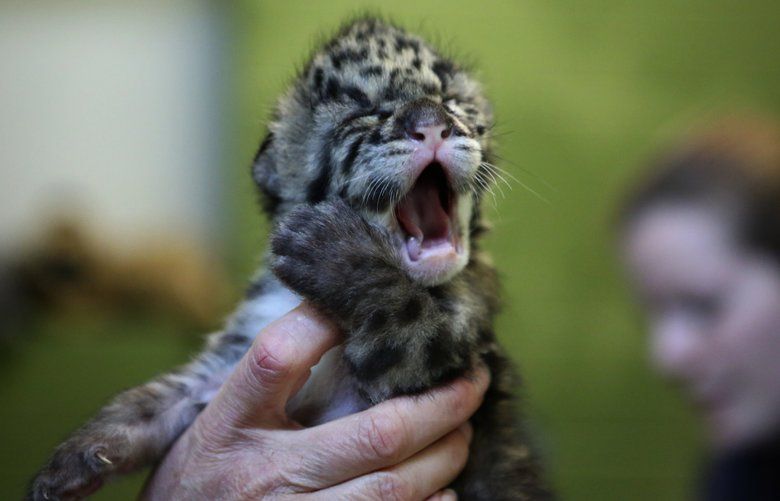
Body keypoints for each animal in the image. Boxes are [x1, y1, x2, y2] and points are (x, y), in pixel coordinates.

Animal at [28, 16, 551, 500]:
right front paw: (75, 457)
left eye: (449, 99)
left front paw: (333, 250)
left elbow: (403, 312)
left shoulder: (443, 361)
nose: (431, 122)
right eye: (364, 111)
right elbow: (164, 394)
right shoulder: (235, 352)